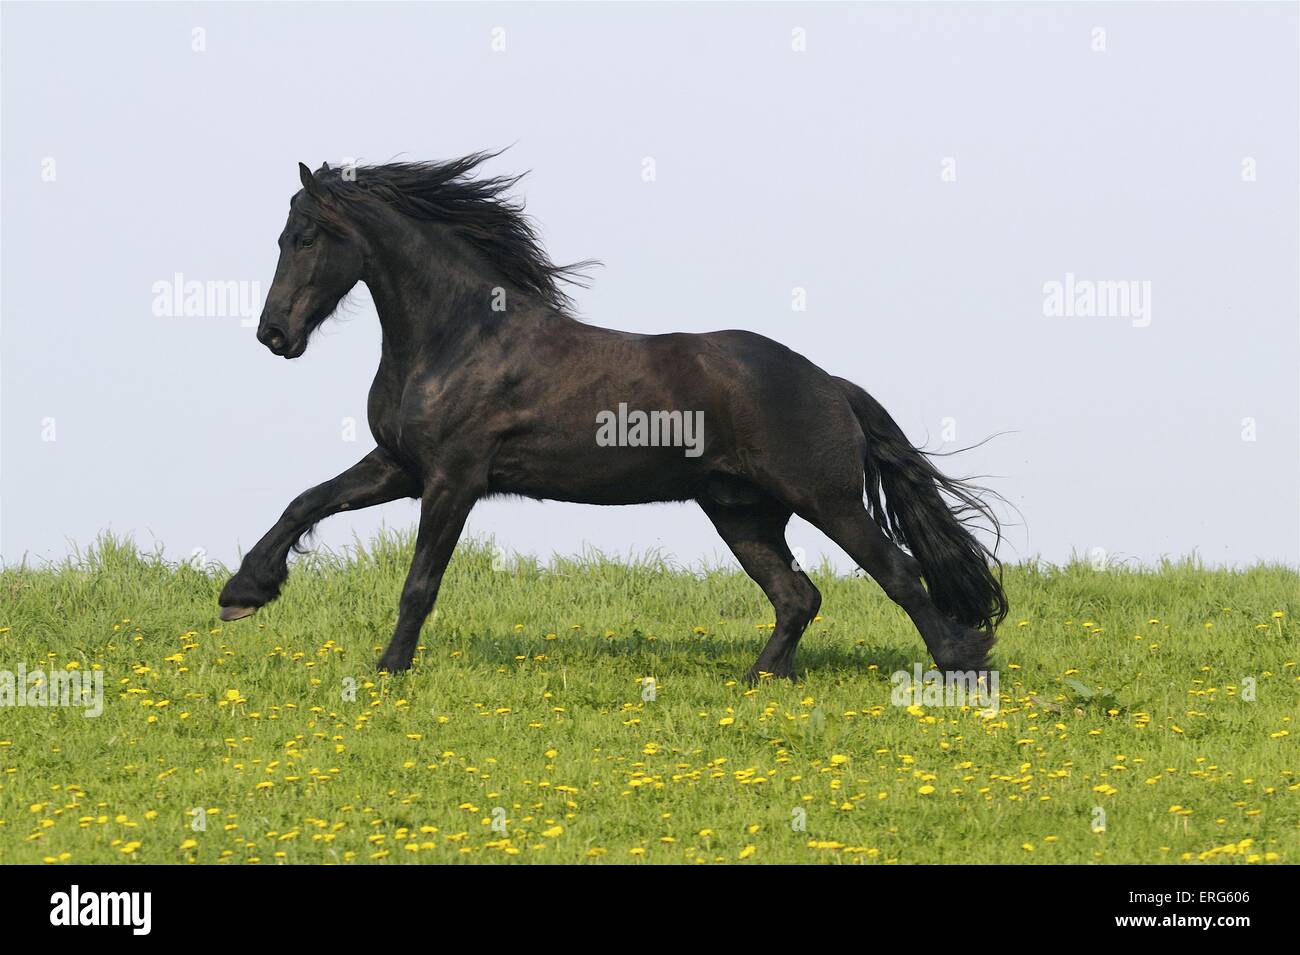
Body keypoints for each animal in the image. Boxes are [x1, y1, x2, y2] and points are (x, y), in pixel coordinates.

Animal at [218, 153, 1007, 679]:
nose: (273, 334)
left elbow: (420, 581)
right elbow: (306, 501)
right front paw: (243, 593)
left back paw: (962, 661)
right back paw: (761, 679)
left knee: (896, 573)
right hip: (742, 511)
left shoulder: (453, 478)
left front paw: (389, 668)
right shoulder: (401, 465)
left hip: (826, 499)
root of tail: (831, 384)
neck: (458, 335)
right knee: (797, 595)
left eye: (305, 236)